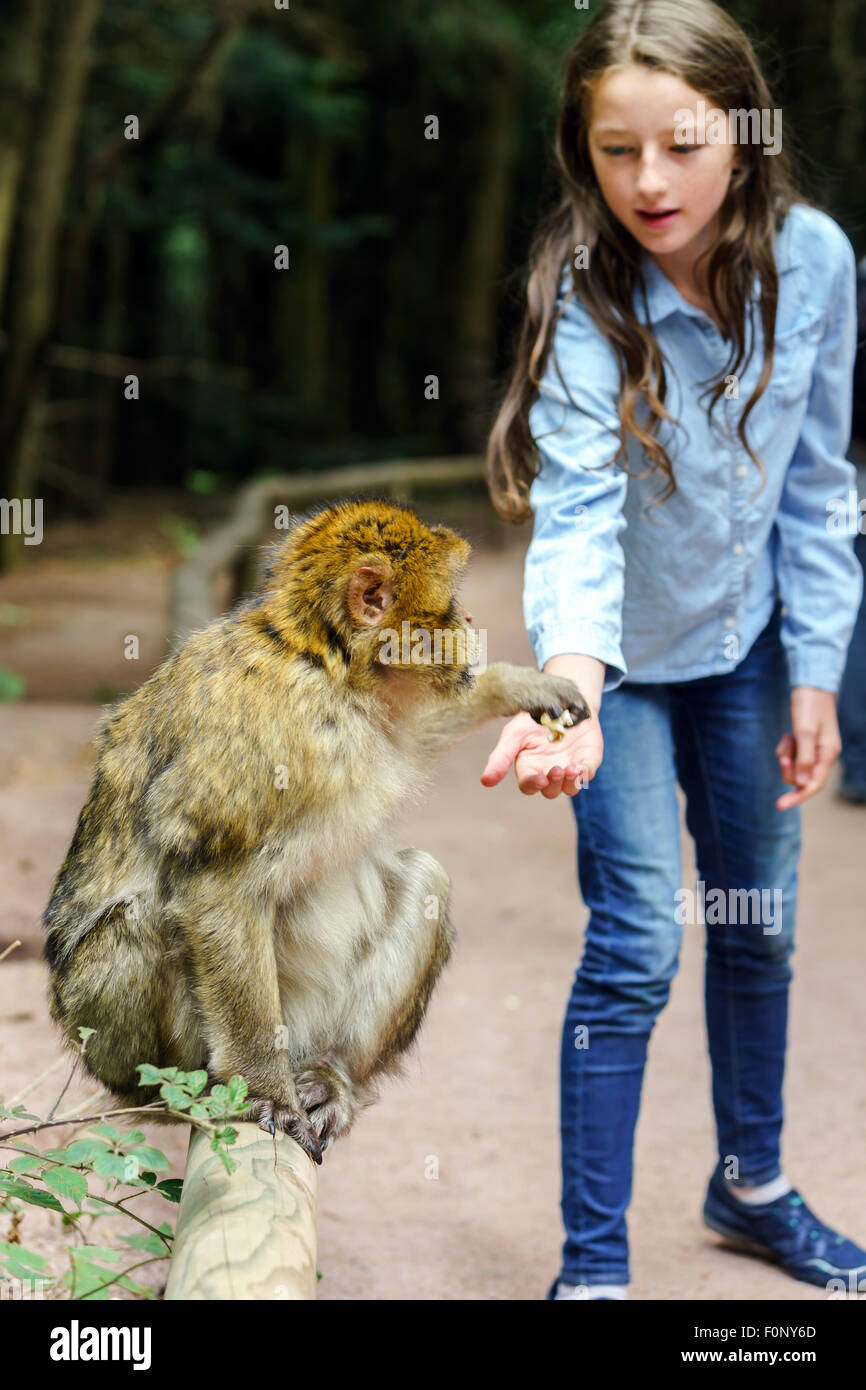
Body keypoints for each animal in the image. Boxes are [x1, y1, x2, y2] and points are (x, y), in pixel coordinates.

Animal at [42, 497, 590, 1165]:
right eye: (450, 600)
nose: (468, 619)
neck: (330, 669)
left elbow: (417, 730)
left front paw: (519, 684)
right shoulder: (272, 733)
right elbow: (217, 885)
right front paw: (265, 1092)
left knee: (425, 879)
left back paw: (333, 1074)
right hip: (113, 1046)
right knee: (140, 926)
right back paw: (198, 1090)